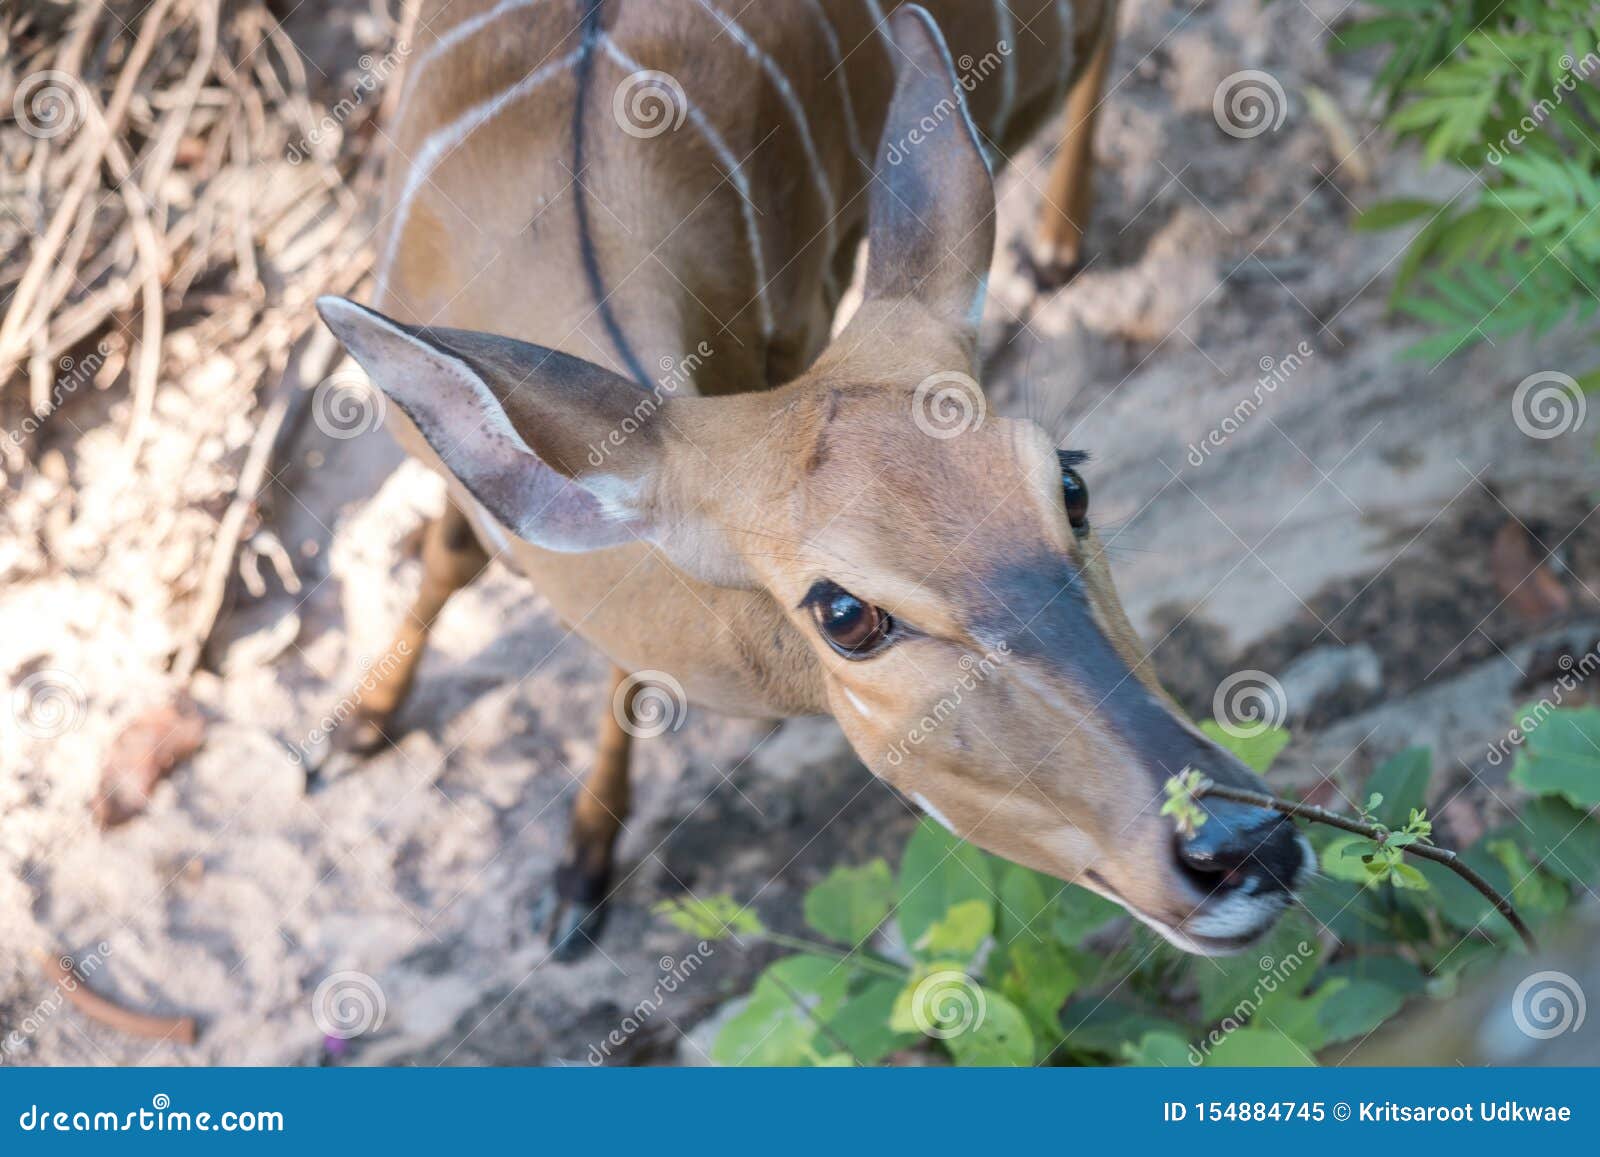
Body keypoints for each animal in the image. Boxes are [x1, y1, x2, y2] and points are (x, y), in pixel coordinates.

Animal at [311, 0, 1310, 962]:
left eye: (1069, 488)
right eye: (845, 614)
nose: (1241, 841)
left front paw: (579, 871)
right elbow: (454, 557)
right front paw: (359, 731)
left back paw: (1059, 242)